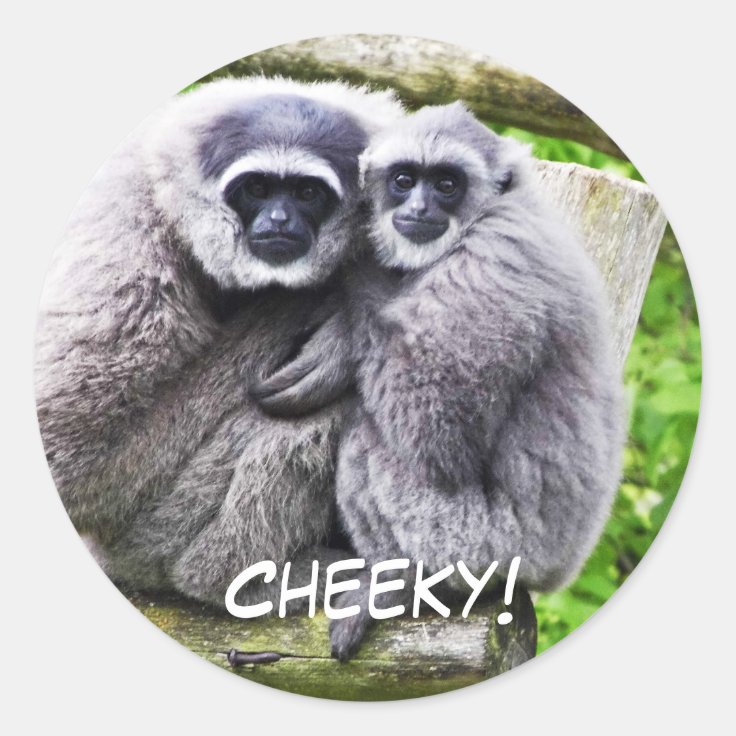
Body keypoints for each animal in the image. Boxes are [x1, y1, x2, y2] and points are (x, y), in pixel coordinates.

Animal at [34, 77, 405, 609]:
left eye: (307, 192)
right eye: (256, 189)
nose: (280, 218)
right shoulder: (130, 229)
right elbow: (75, 461)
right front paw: (336, 321)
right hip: (147, 538)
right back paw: (239, 578)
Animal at [254, 102, 625, 660]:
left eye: (447, 184)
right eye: (404, 180)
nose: (420, 206)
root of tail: (556, 567)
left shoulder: (493, 265)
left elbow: (437, 438)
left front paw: (345, 320)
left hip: (478, 545)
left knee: (371, 436)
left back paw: (399, 582)